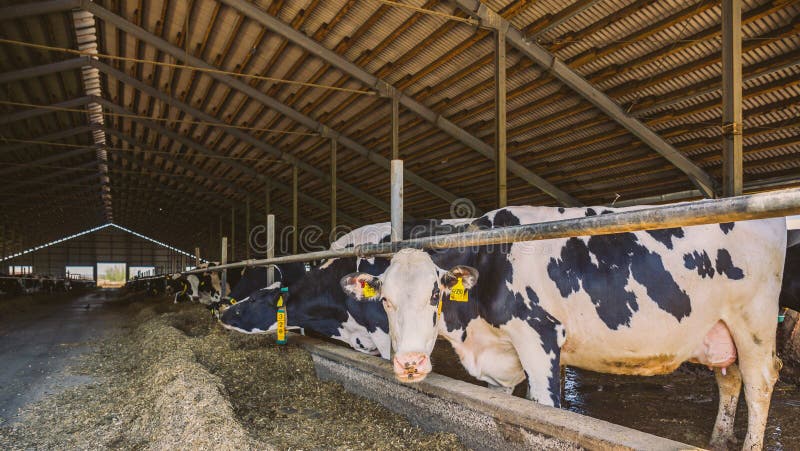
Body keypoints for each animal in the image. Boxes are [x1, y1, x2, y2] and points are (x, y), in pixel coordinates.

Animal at [341, 206, 786, 450]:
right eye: (385, 300)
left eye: (435, 295)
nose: (411, 364)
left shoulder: (540, 336)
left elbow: (544, 408)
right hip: (720, 328)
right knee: (729, 378)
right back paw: (719, 438)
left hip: (755, 321)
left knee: (760, 381)